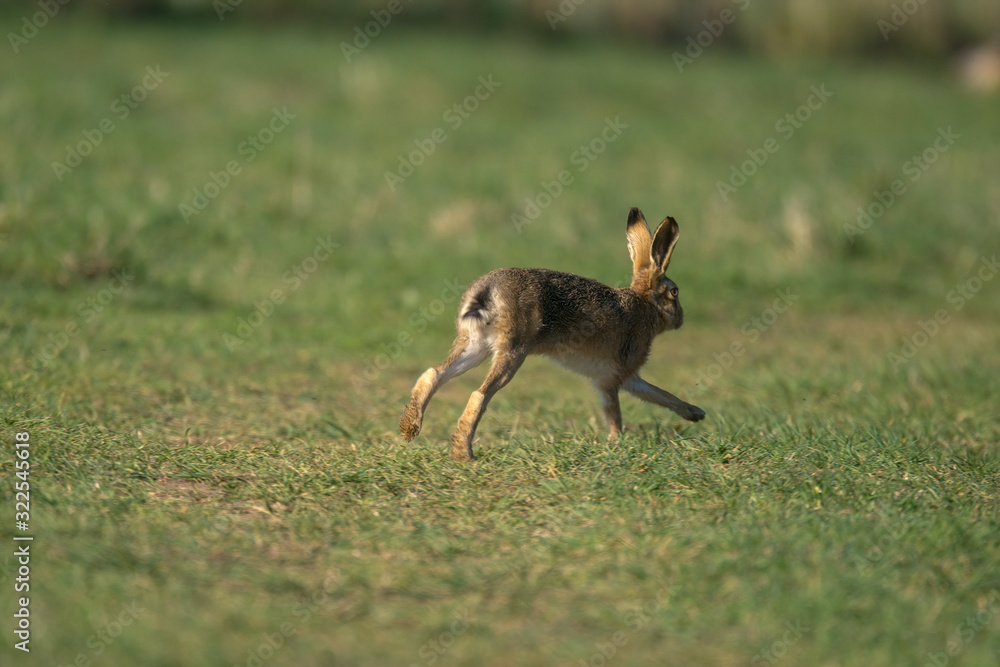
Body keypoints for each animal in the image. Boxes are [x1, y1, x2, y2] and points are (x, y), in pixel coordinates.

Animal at [399, 206, 705, 461]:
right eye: (674, 292)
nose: (680, 319)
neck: (644, 303)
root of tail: (485, 292)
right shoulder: (613, 378)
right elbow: (616, 412)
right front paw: (616, 442)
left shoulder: (627, 378)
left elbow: (660, 394)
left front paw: (695, 413)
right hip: (514, 350)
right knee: (479, 394)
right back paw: (463, 454)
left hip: (476, 345)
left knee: (433, 374)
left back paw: (410, 428)